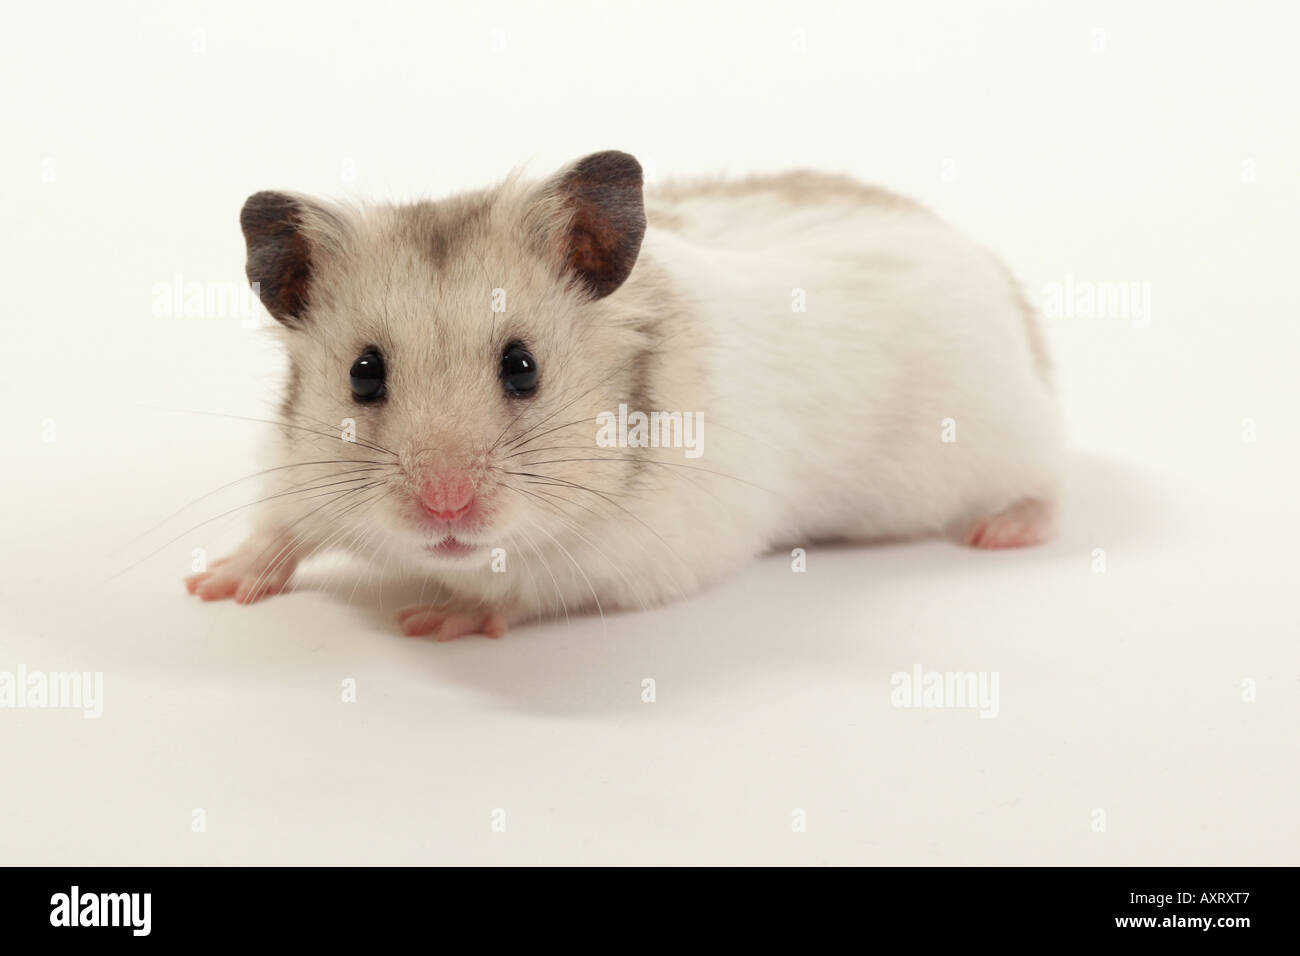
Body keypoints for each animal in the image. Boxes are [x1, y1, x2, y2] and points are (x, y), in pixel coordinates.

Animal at [185, 150, 1060, 640]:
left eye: (523, 367)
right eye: (364, 373)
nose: (445, 509)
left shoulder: (636, 561)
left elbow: (525, 589)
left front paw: (434, 622)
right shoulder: (290, 470)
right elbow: (275, 527)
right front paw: (210, 585)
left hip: (1009, 441)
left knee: (1044, 487)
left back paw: (1002, 532)